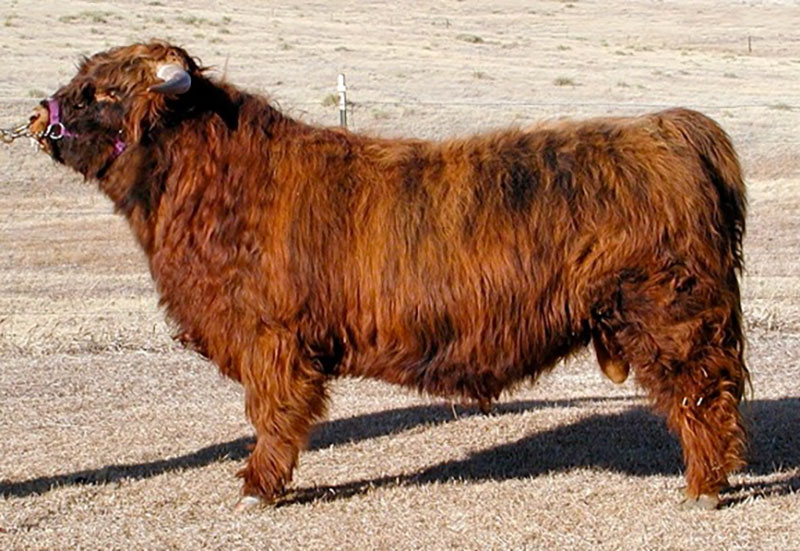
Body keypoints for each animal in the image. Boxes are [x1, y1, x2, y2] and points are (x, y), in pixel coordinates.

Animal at [24, 41, 748, 511]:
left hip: (669, 315)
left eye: (102, 93)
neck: (216, 185)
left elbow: (273, 412)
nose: (36, 114)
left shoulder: (272, 339)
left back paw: (704, 489)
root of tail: (668, 128)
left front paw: (258, 487)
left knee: (702, 394)